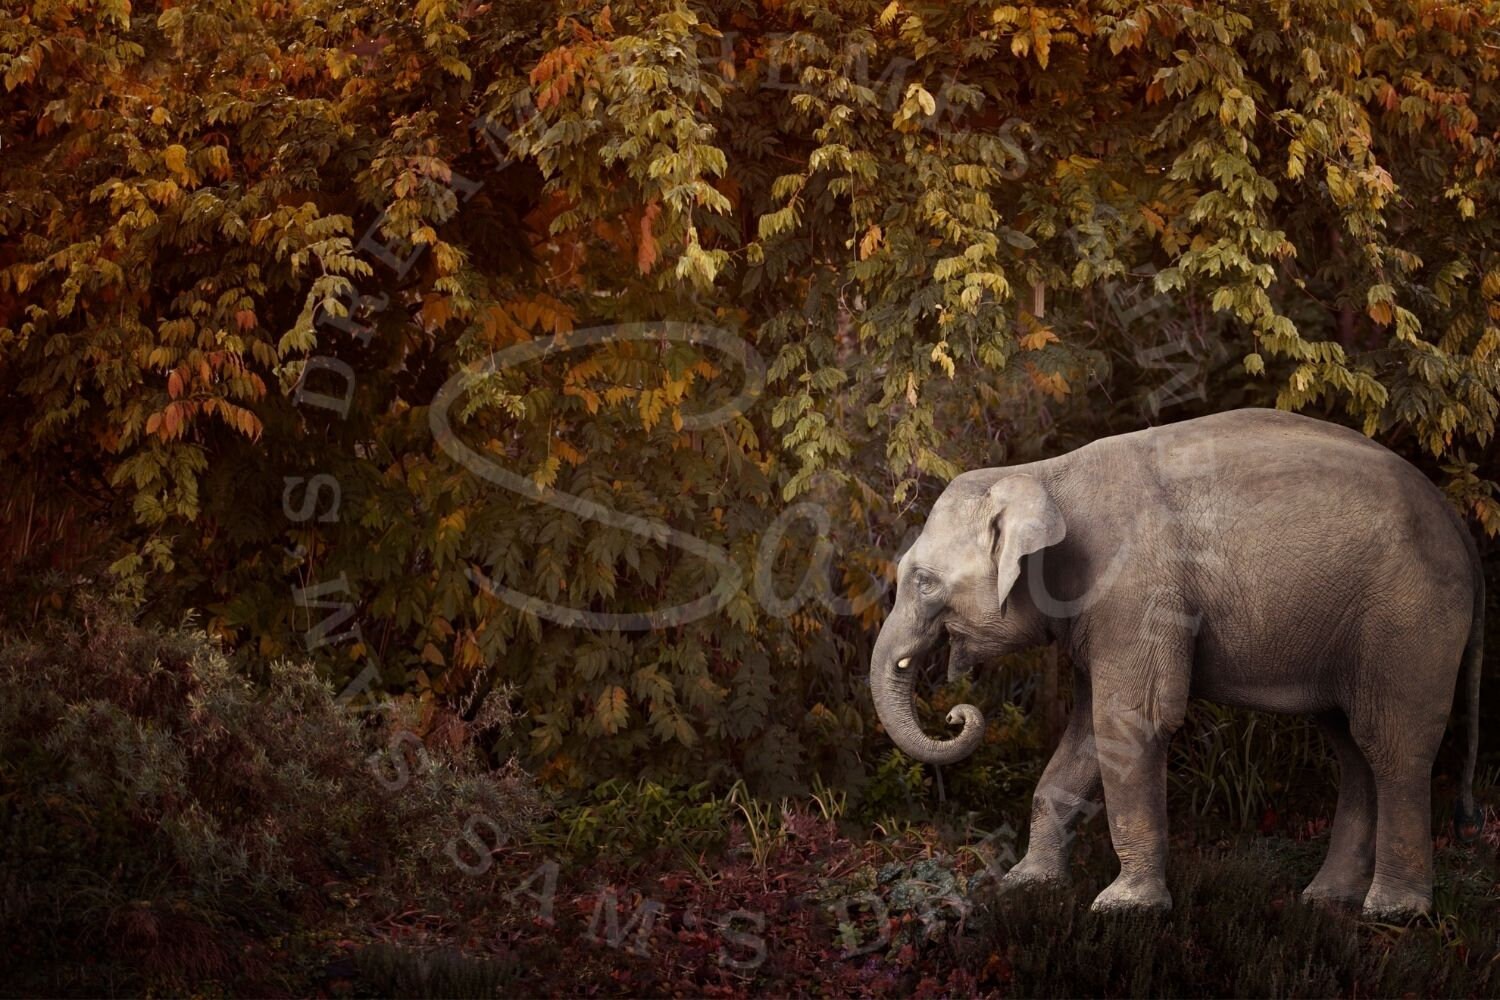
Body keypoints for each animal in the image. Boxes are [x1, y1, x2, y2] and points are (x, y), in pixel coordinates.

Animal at [869, 407, 1484, 920]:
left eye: (924, 582)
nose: (957, 715)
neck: (1045, 473)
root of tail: (1457, 522)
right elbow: (1090, 729)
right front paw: (1028, 884)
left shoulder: (1136, 589)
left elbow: (1129, 720)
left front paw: (1123, 908)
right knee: (1352, 747)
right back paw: (1326, 900)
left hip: (1408, 618)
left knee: (1392, 742)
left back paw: (1393, 913)